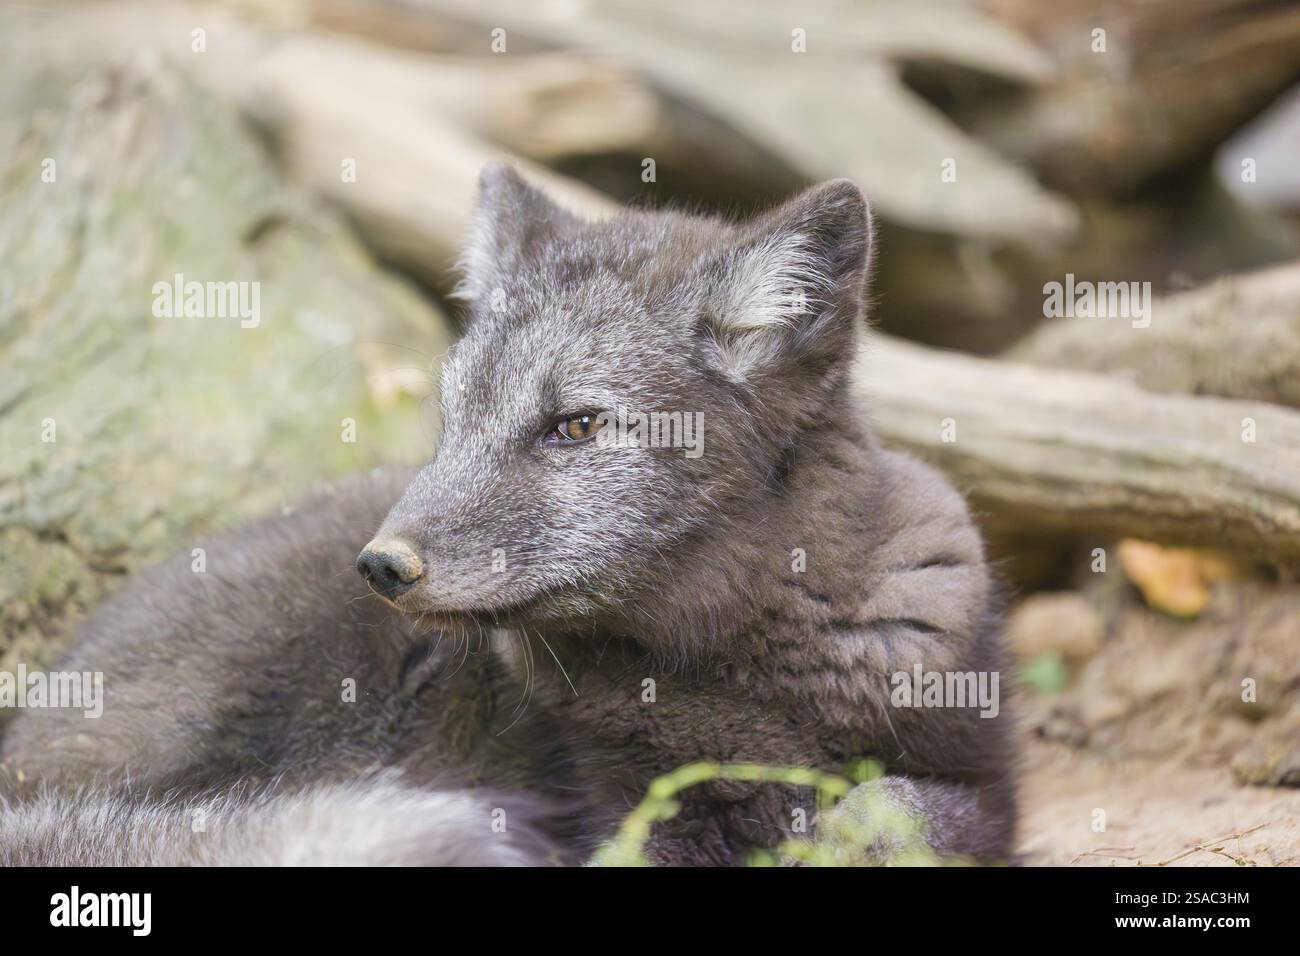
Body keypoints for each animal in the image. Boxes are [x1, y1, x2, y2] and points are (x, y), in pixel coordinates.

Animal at [0, 166, 1015, 865]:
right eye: (452, 417)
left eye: (577, 425)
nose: (381, 566)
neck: (727, 669)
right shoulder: (613, 804)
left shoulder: (985, 775)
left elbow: (901, 805)